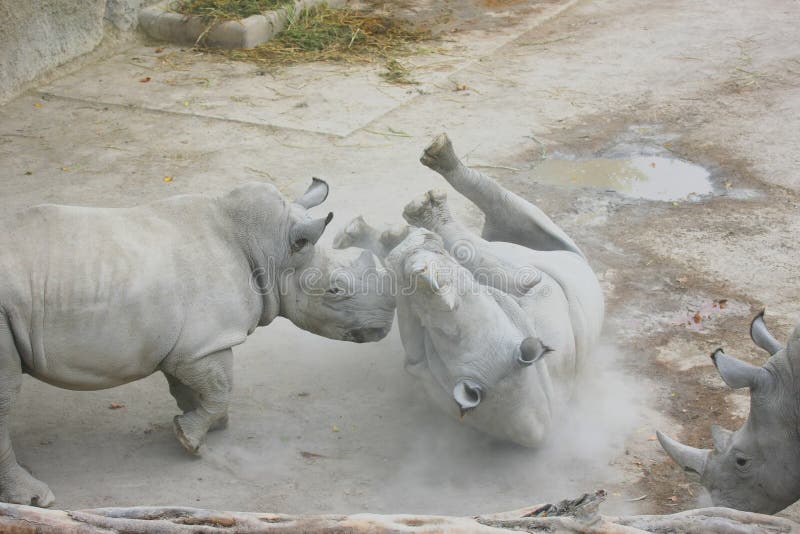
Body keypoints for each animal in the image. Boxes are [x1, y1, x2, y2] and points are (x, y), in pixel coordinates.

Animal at [0, 179, 395, 507]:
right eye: (335, 290)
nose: (385, 326)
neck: (269, 248)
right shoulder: (206, 343)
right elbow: (222, 387)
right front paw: (190, 439)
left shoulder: (190, 345)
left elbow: (196, 388)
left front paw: (206, 424)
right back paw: (37, 499)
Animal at [334, 134, 604, 446]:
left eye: (449, 316)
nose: (421, 252)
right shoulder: (424, 367)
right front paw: (404, 248)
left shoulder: (534, 296)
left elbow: (503, 271)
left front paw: (407, 247)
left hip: (570, 265)